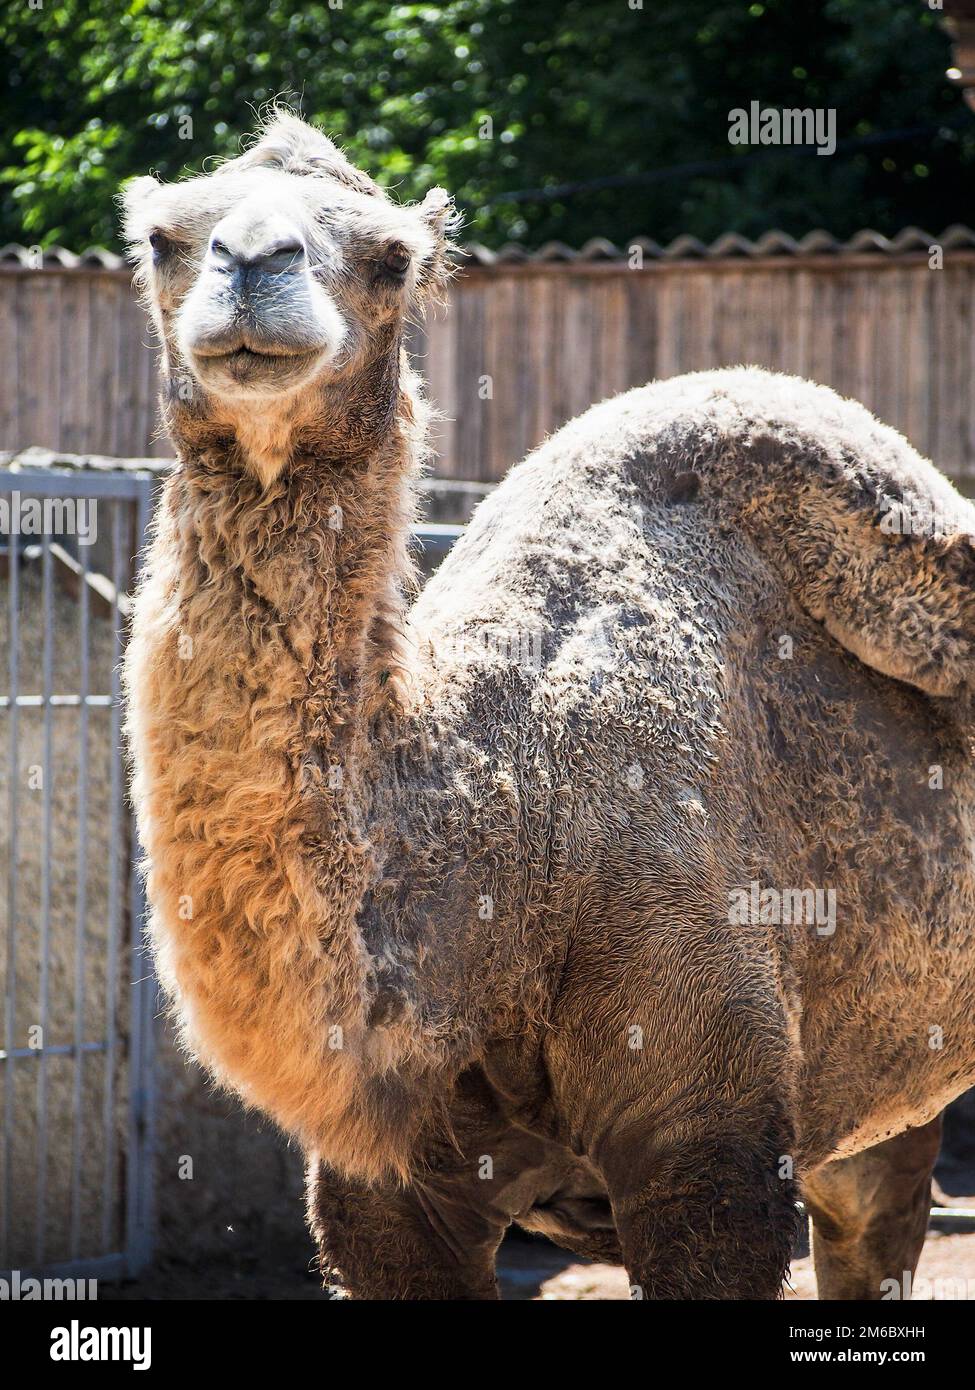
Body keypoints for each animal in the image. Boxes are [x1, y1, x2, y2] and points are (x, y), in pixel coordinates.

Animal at [122, 112, 975, 1300]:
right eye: (162, 238)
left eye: (393, 260)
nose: (252, 264)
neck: (501, 838)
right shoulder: (384, 1200)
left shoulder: (708, 1141)